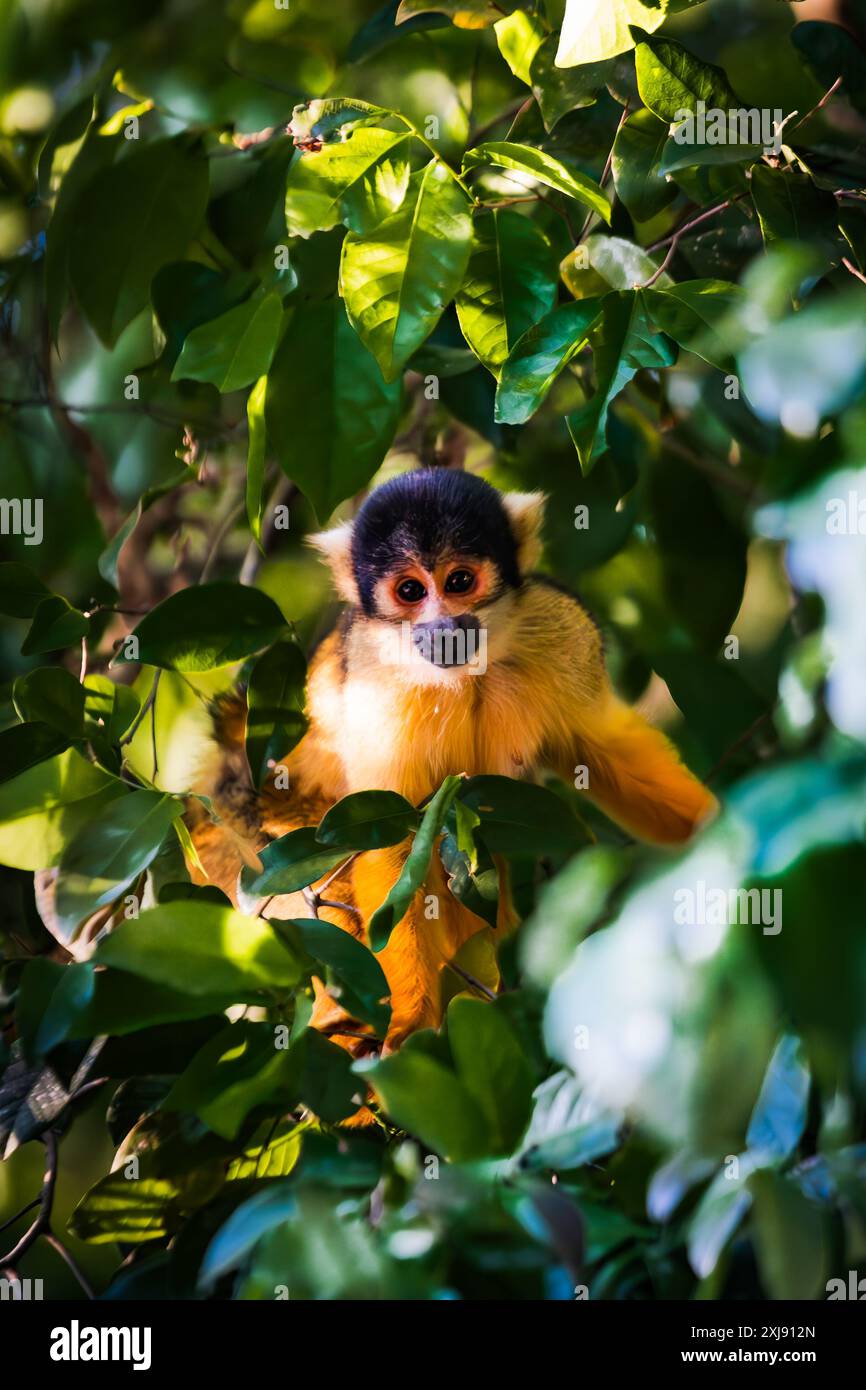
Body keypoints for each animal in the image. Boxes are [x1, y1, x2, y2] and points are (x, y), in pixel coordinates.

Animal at [187, 468, 716, 1055]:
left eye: (459, 581)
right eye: (411, 591)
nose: (443, 628)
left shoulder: (561, 628)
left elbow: (602, 746)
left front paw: (723, 828)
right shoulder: (378, 680)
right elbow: (391, 839)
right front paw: (410, 1020)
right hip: (241, 823)